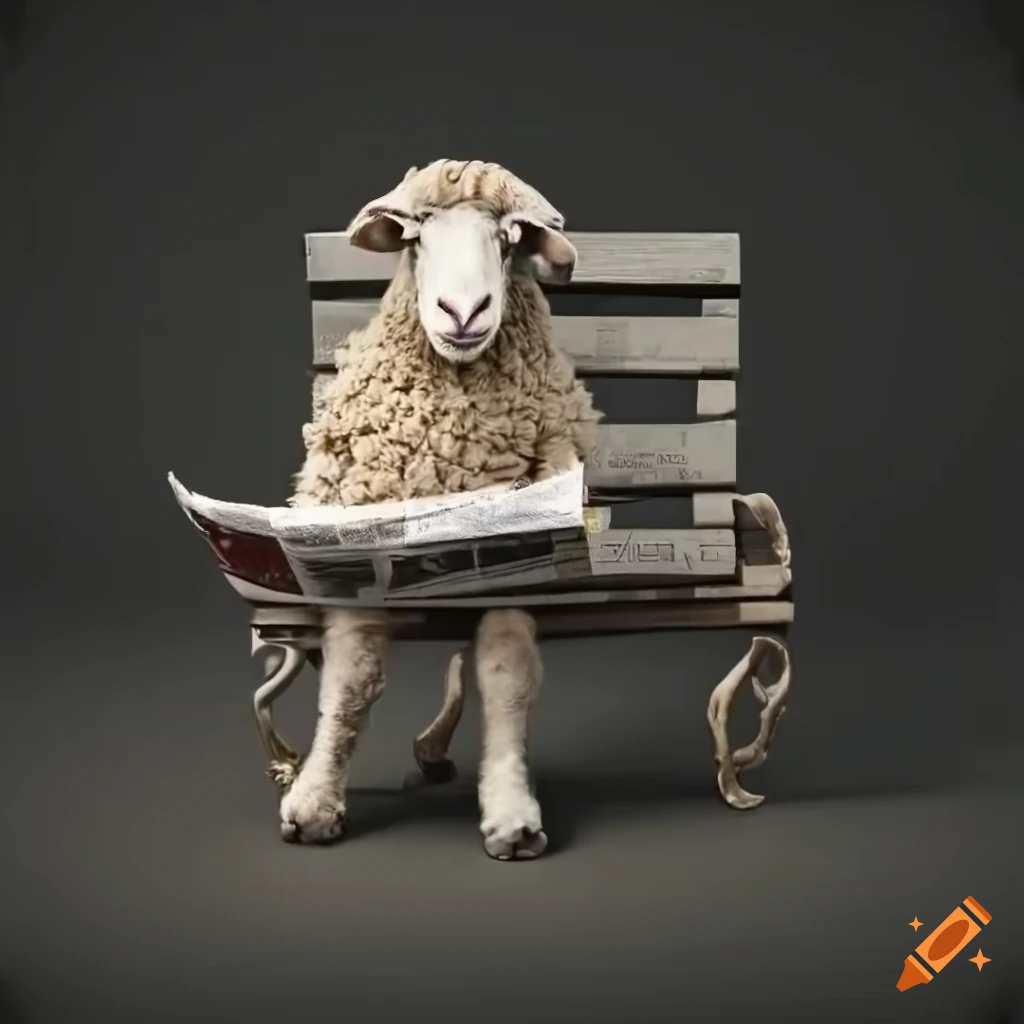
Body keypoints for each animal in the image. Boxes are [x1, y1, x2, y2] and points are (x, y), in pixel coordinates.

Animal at [280, 159, 602, 859]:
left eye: (508, 239)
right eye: (418, 237)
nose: (463, 311)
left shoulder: (519, 554)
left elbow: (506, 675)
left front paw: (511, 812)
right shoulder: (359, 541)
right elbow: (351, 681)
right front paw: (314, 800)